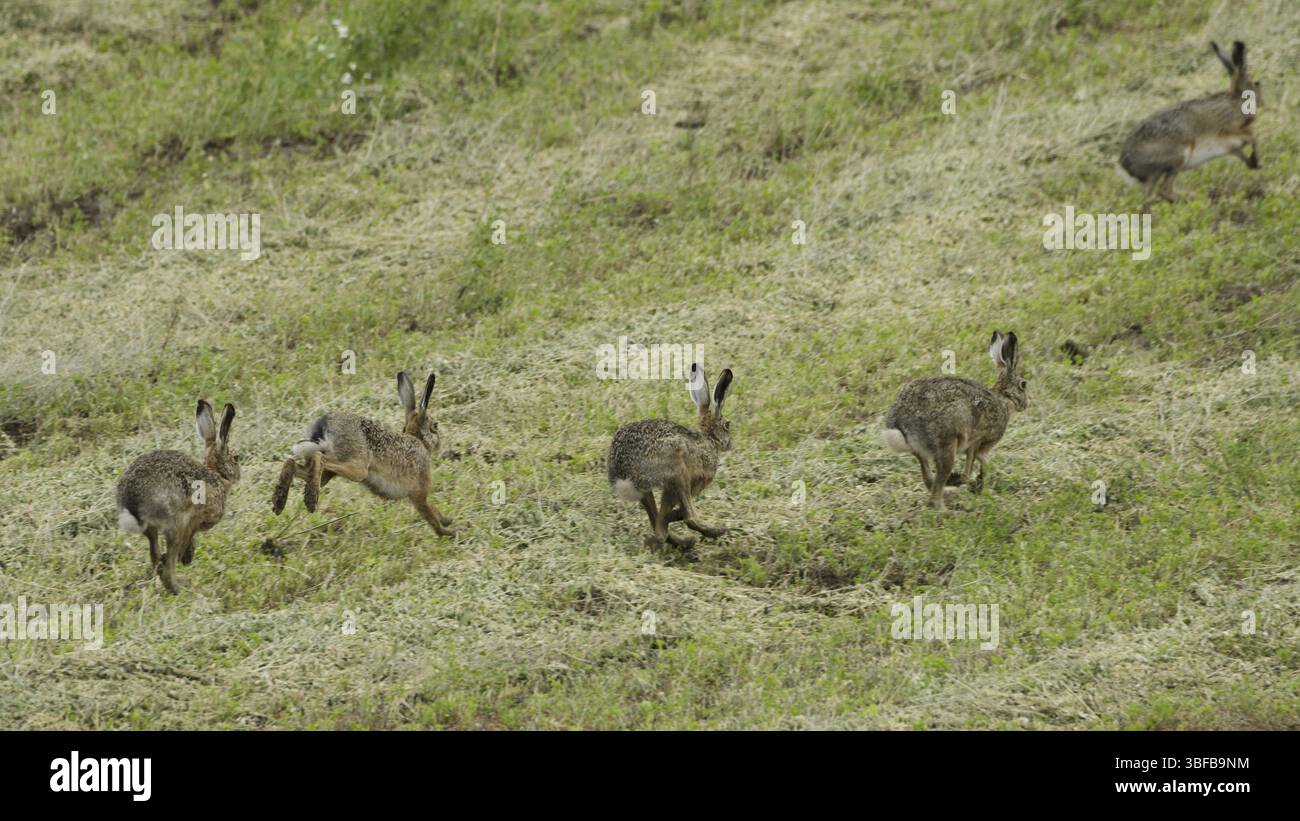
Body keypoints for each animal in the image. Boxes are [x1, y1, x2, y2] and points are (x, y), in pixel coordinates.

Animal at [116, 400, 239, 594]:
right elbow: (189, 538)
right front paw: (187, 557)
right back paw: (182, 587)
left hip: (153, 529)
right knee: (166, 566)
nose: (239, 475)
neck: (217, 474)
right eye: (236, 458)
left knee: (155, 558)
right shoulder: (193, 519)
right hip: (174, 523)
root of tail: (132, 502)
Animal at [270, 371, 454, 536]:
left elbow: (432, 508)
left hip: (328, 471)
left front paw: (447, 520)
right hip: (357, 468)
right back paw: (310, 501)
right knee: (318, 458)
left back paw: (279, 501)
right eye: (435, 426)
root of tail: (323, 426)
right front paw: (447, 532)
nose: (439, 444)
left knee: (292, 463)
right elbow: (428, 512)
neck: (418, 440)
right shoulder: (419, 492)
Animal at [608, 363, 733, 549]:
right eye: (727, 425)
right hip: (677, 472)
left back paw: (680, 539)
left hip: (650, 489)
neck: (708, 438)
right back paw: (715, 531)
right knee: (687, 519)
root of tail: (623, 474)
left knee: (658, 525)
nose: (730, 444)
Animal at [882, 332, 1026, 511]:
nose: (1025, 405)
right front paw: (974, 483)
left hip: (922, 451)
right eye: (1023, 385)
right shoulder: (978, 441)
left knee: (928, 478)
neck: (1003, 397)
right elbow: (976, 463)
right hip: (947, 444)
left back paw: (950, 492)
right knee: (936, 492)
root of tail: (900, 425)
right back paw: (948, 507)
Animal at [1120, 41, 1261, 204]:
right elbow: (1253, 136)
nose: (1262, 101)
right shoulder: (1230, 130)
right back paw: (1193, 198)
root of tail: (1126, 164)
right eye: (1255, 84)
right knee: (1164, 190)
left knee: (1149, 194)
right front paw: (1256, 160)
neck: (1238, 99)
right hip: (1178, 156)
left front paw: (1254, 164)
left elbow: (1243, 149)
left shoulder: (1231, 146)